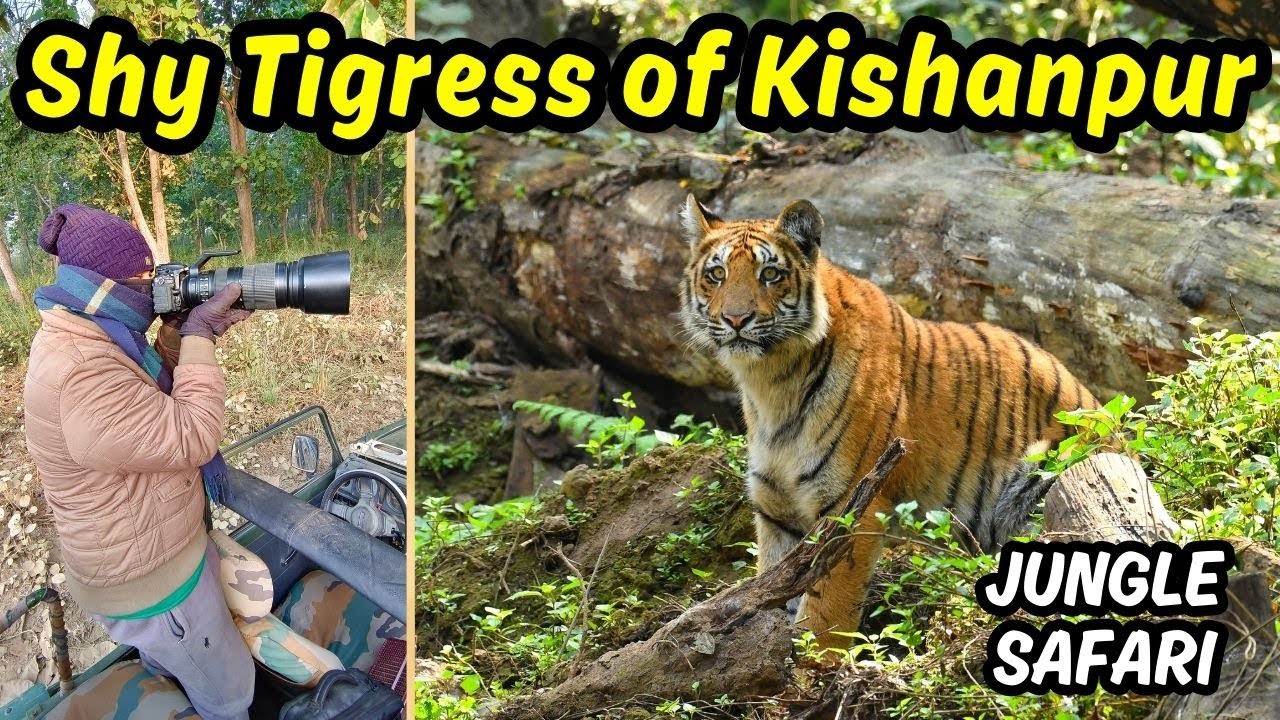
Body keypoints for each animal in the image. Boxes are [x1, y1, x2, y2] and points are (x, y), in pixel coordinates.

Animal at [678, 195, 1098, 646]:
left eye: (770, 274)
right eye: (717, 275)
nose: (736, 319)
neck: (771, 382)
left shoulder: (851, 507)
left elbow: (825, 614)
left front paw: (811, 659)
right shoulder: (777, 509)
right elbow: (775, 583)